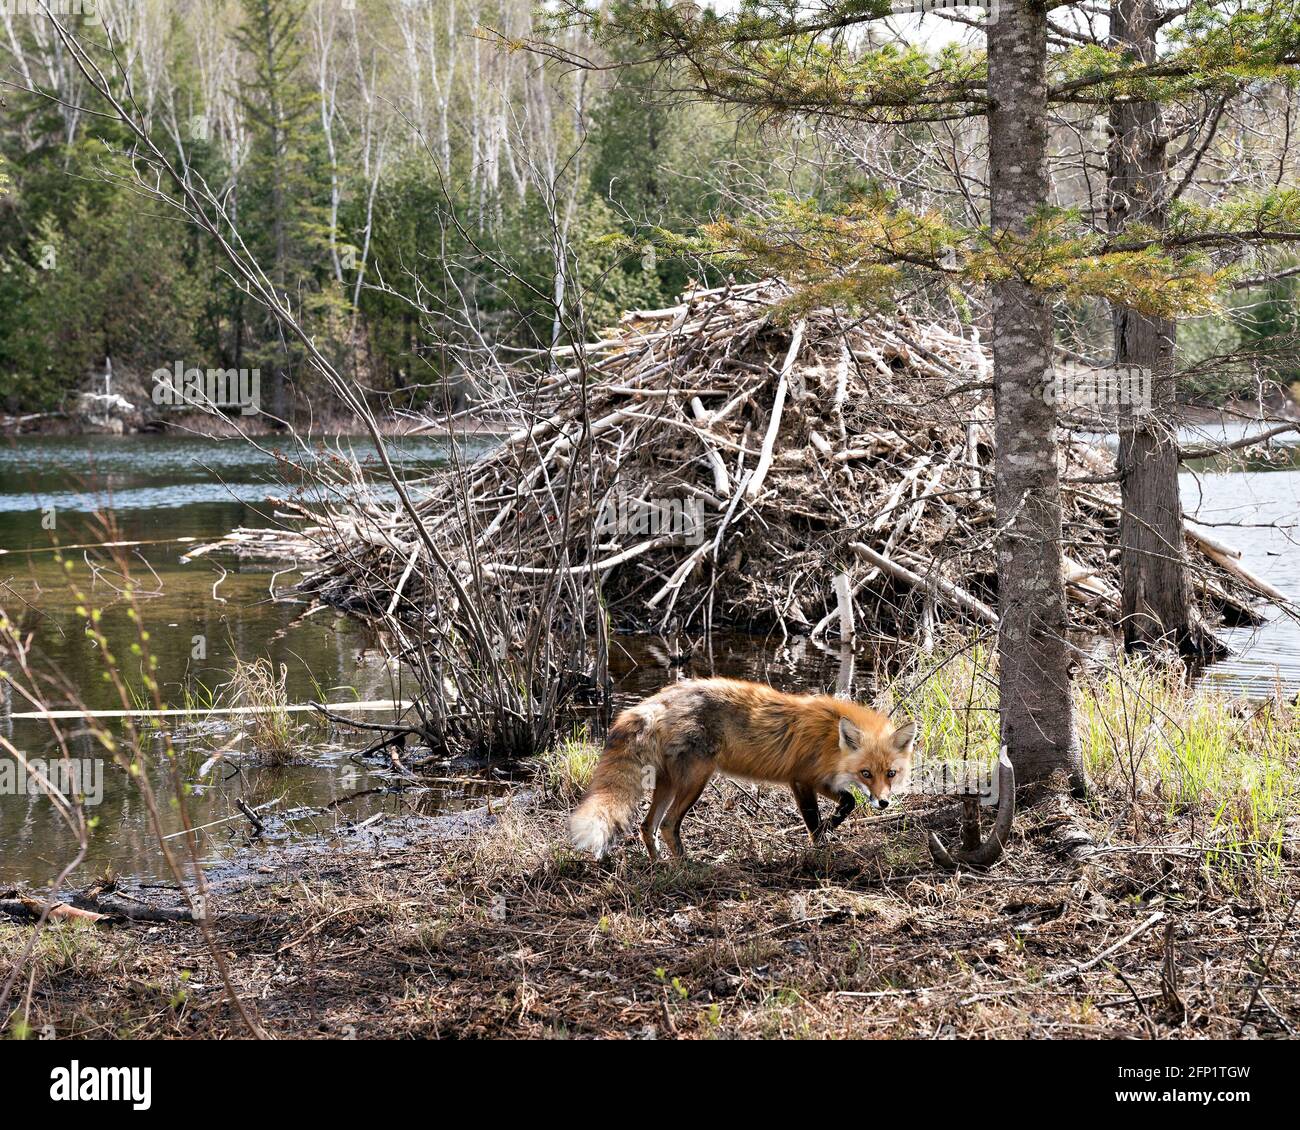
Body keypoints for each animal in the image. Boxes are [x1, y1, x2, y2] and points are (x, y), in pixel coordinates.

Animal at [569, 677, 916, 860]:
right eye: (866, 773)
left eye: (891, 773)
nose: (884, 803)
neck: (831, 737)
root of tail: (658, 700)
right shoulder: (801, 780)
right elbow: (815, 822)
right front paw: (821, 846)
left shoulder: (820, 780)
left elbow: (849, 801)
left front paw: (833, 827)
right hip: (696, 780)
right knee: (667, 825)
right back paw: (686, 866)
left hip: (669, 783)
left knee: (646, 825)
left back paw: (658, 866)